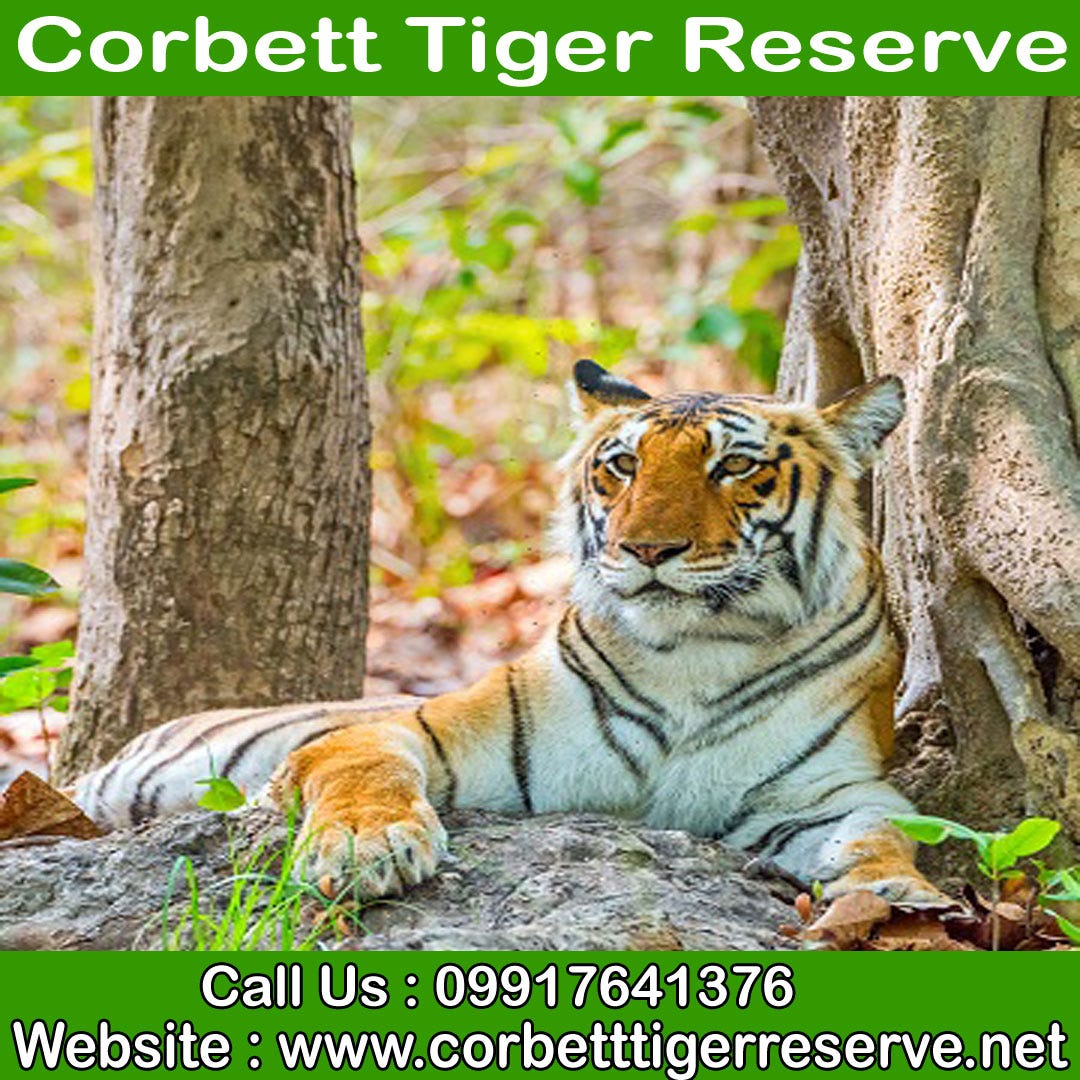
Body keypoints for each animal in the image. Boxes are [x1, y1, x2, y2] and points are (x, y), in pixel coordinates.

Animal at [74, 359, 941, 906]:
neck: (696, 656)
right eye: (622, 466)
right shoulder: (431, 727)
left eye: (733, 467)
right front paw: (364, 848)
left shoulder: (829, 790)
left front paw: (898, 895)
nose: (647, 549)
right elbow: (360, 764)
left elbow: (880, 833)